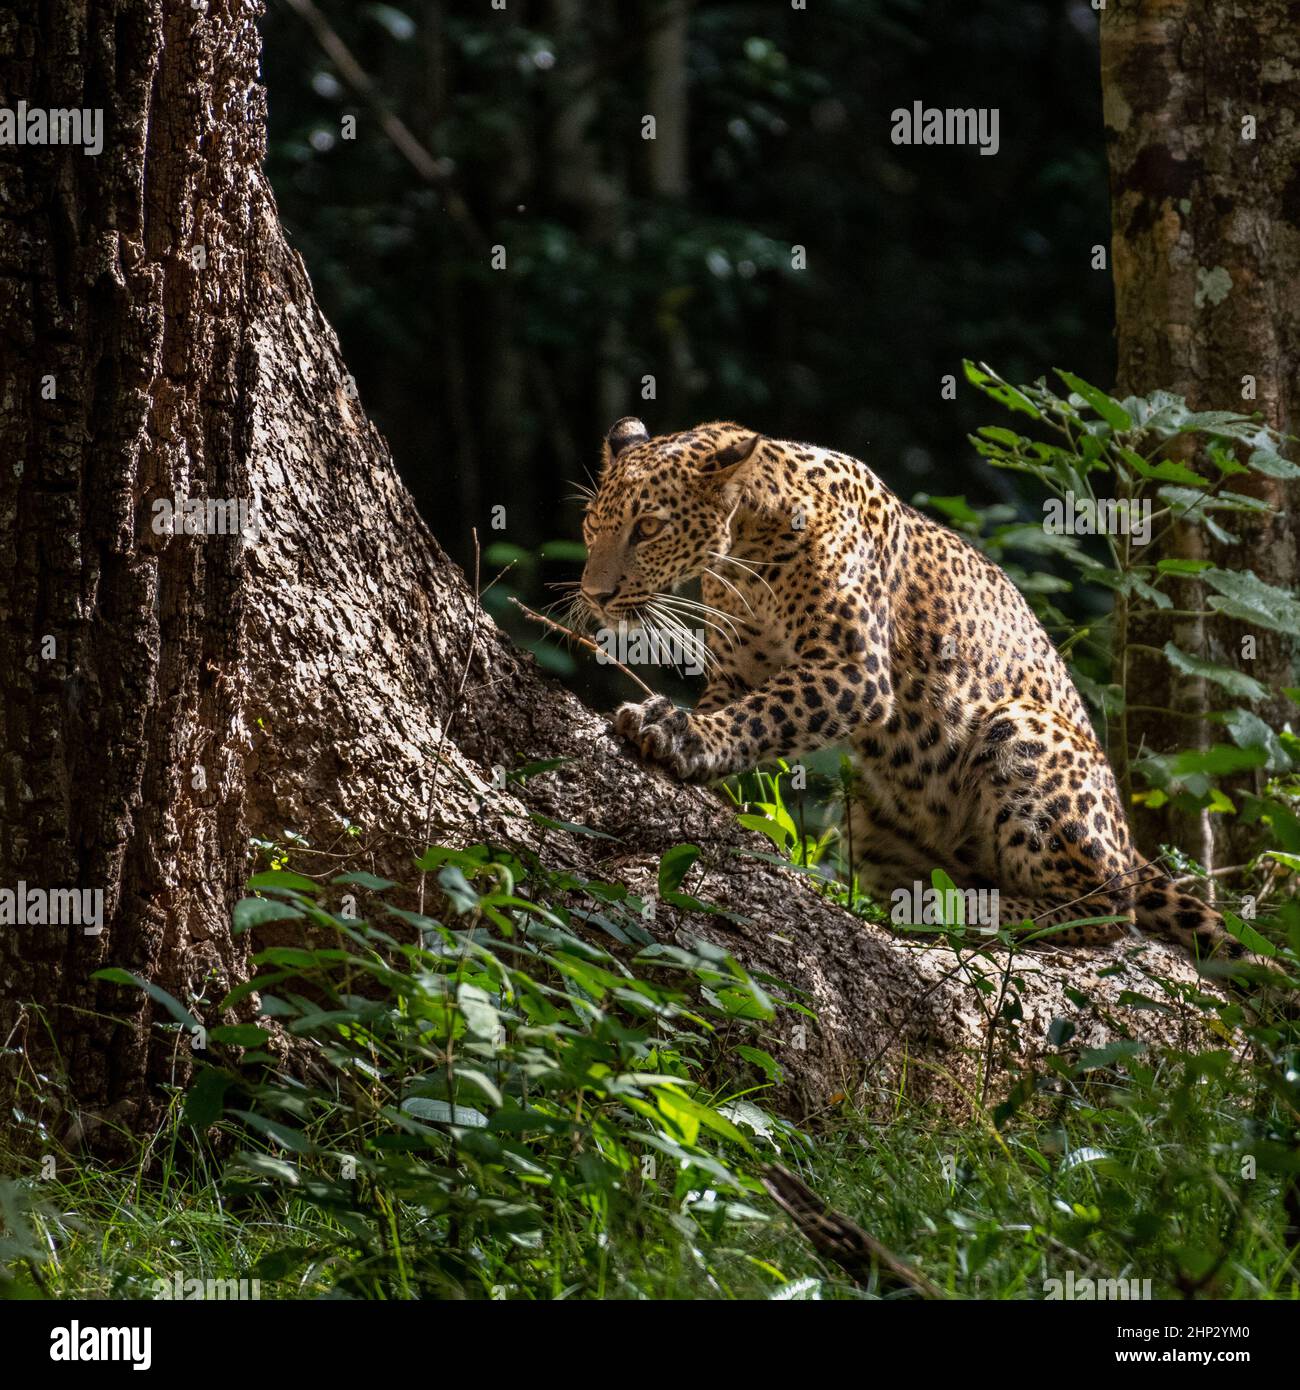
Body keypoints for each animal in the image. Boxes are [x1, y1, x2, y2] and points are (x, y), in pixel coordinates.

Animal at [577, 414, 1242, 958]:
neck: (746, 546)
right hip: (871, 827)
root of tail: (1131, 848)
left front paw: (681, 734)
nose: (594, 595)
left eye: (649, 527)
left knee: (1107, 908)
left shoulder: (853, 670)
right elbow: (742, 711)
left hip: (1022, 732)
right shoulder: (741, 667)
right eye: (591, 525)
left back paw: (959, 910)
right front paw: (683, 732)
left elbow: (766, 714)